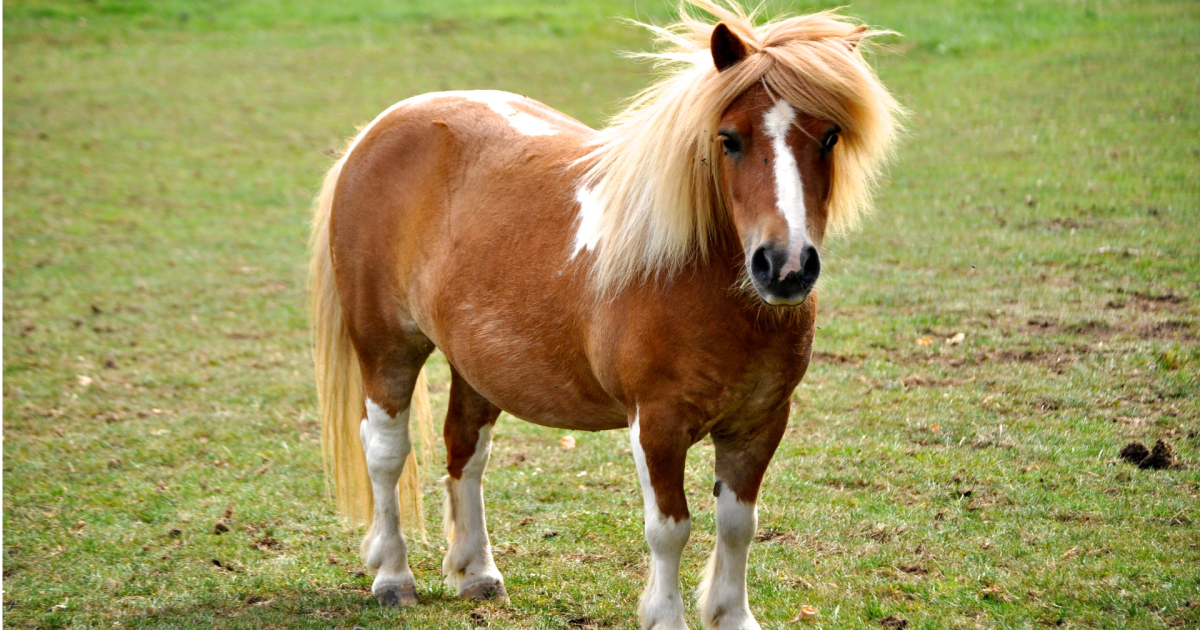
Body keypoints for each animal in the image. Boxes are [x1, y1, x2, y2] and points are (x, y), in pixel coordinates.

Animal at [309, 1, 901, 627]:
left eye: (830, 136)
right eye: (730, 139)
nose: (785, 267)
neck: (699, 279)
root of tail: (378, 129)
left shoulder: (759, 423)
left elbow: (738, 525)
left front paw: (732, 615)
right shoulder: (657, 424)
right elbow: (670, 528)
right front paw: (666, 616)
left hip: (475, 365)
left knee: (465, 450)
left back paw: (478, 574)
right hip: (386, 348)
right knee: (385, 452)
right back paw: (393, 577)